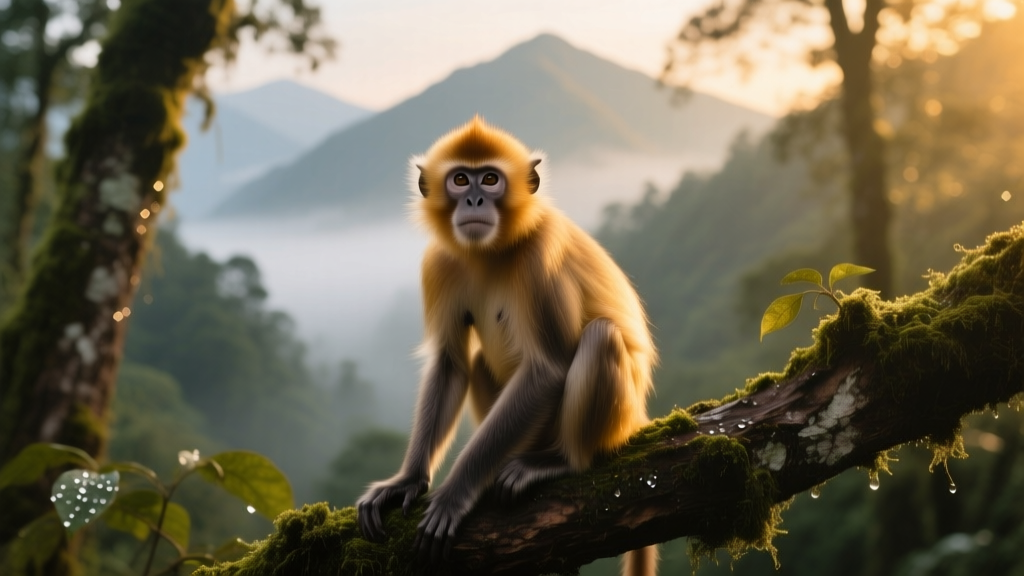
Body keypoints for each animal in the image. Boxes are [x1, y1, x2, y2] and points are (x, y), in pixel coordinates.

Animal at [356, 116, 658, 576]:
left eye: (490, 179)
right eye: (460, 179)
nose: (475, 199)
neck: (488, 252)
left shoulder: (539, 255)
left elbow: (548, 369)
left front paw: (455, 494)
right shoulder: (439, 262)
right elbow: (451, 363)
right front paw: (406, 480)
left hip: (614, 423)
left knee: (600, 337)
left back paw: (560, 461)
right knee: (481, 363)